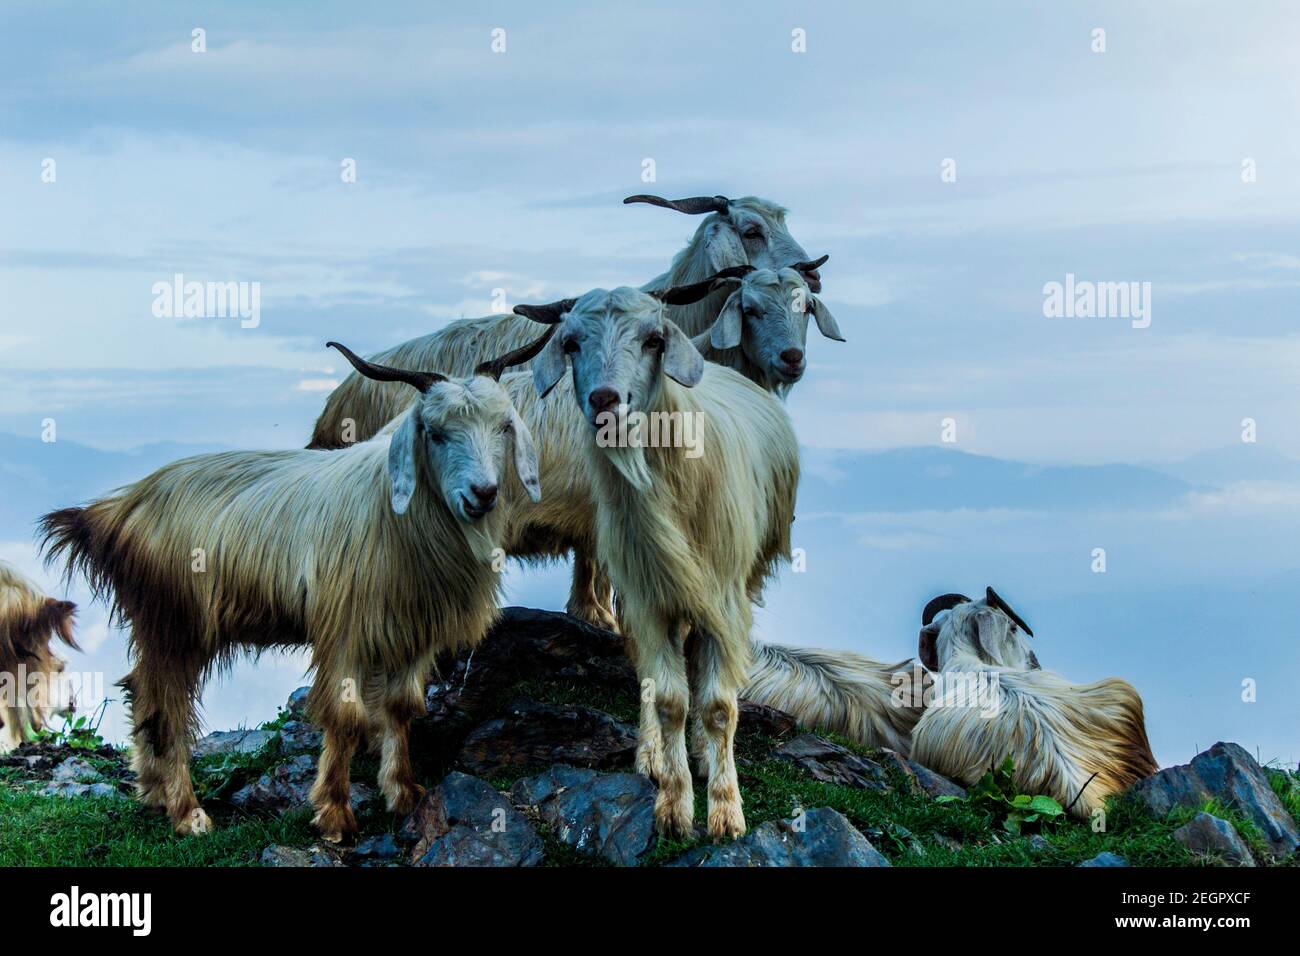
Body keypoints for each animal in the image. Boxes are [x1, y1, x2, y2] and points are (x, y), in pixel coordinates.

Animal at [39, 333, 550, 839]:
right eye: (436, 432)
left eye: (504, 427)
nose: (483, 494)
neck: (396, 511)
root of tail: (114, 512)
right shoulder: (345, 631)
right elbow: (345, 718)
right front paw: (335, 814)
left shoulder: (413, 633)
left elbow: (402, 708)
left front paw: (404, 794)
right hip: (173, 623)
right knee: (167, 709)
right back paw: (188, 813)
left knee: (142, 692)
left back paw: (152, 793)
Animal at [514, 284, 799, 840]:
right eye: (572, 343)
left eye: (653, 340)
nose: (605, 400)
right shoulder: (648, 595)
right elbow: (668, 698)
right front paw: (673, 806)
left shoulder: (725, 597)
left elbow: (718, 705)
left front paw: (726, 812)